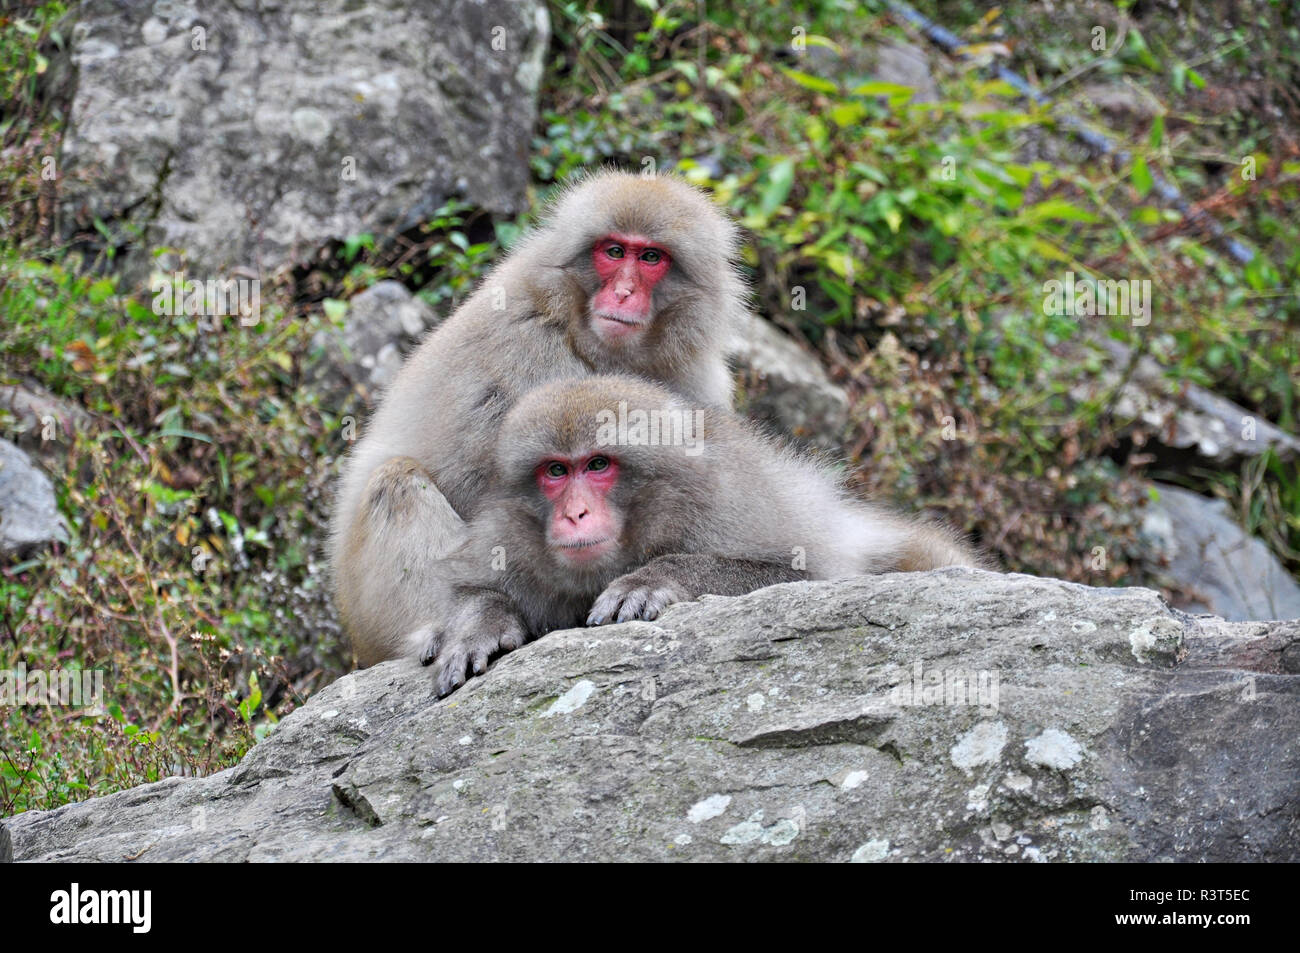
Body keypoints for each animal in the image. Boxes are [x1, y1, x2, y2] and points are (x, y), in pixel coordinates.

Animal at [329, 170, 752, 668]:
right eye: (613, 251)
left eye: (651, 257)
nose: (623, 293)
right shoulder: (533, 359)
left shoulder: (698, 379)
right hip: (372, 616)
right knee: (395, 482)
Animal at [423, 374, 985, 696]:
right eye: (556, 471)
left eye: (598, 464)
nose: (575, 514)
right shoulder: (510, 533)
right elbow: (473, 588)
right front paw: (477, 627)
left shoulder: (727, 500)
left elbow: (806, 578)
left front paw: (653, 579)